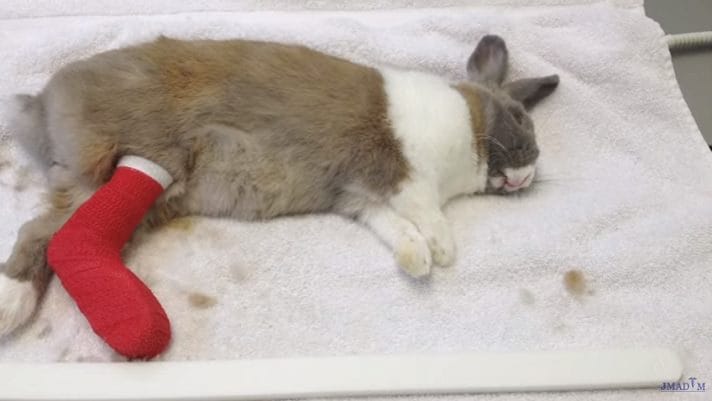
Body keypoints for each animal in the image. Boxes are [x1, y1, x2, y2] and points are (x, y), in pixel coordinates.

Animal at [0, 34, 558, 336]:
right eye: (519, 118)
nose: (531, 173)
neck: (470, 122)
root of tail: (41, 106)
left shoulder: (360, 199)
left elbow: (394, 227)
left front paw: (416, 262)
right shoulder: (397, 168)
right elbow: (422, 208)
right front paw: (441, 250)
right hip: (108, 170)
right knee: (38, 231)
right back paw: (11, 306)